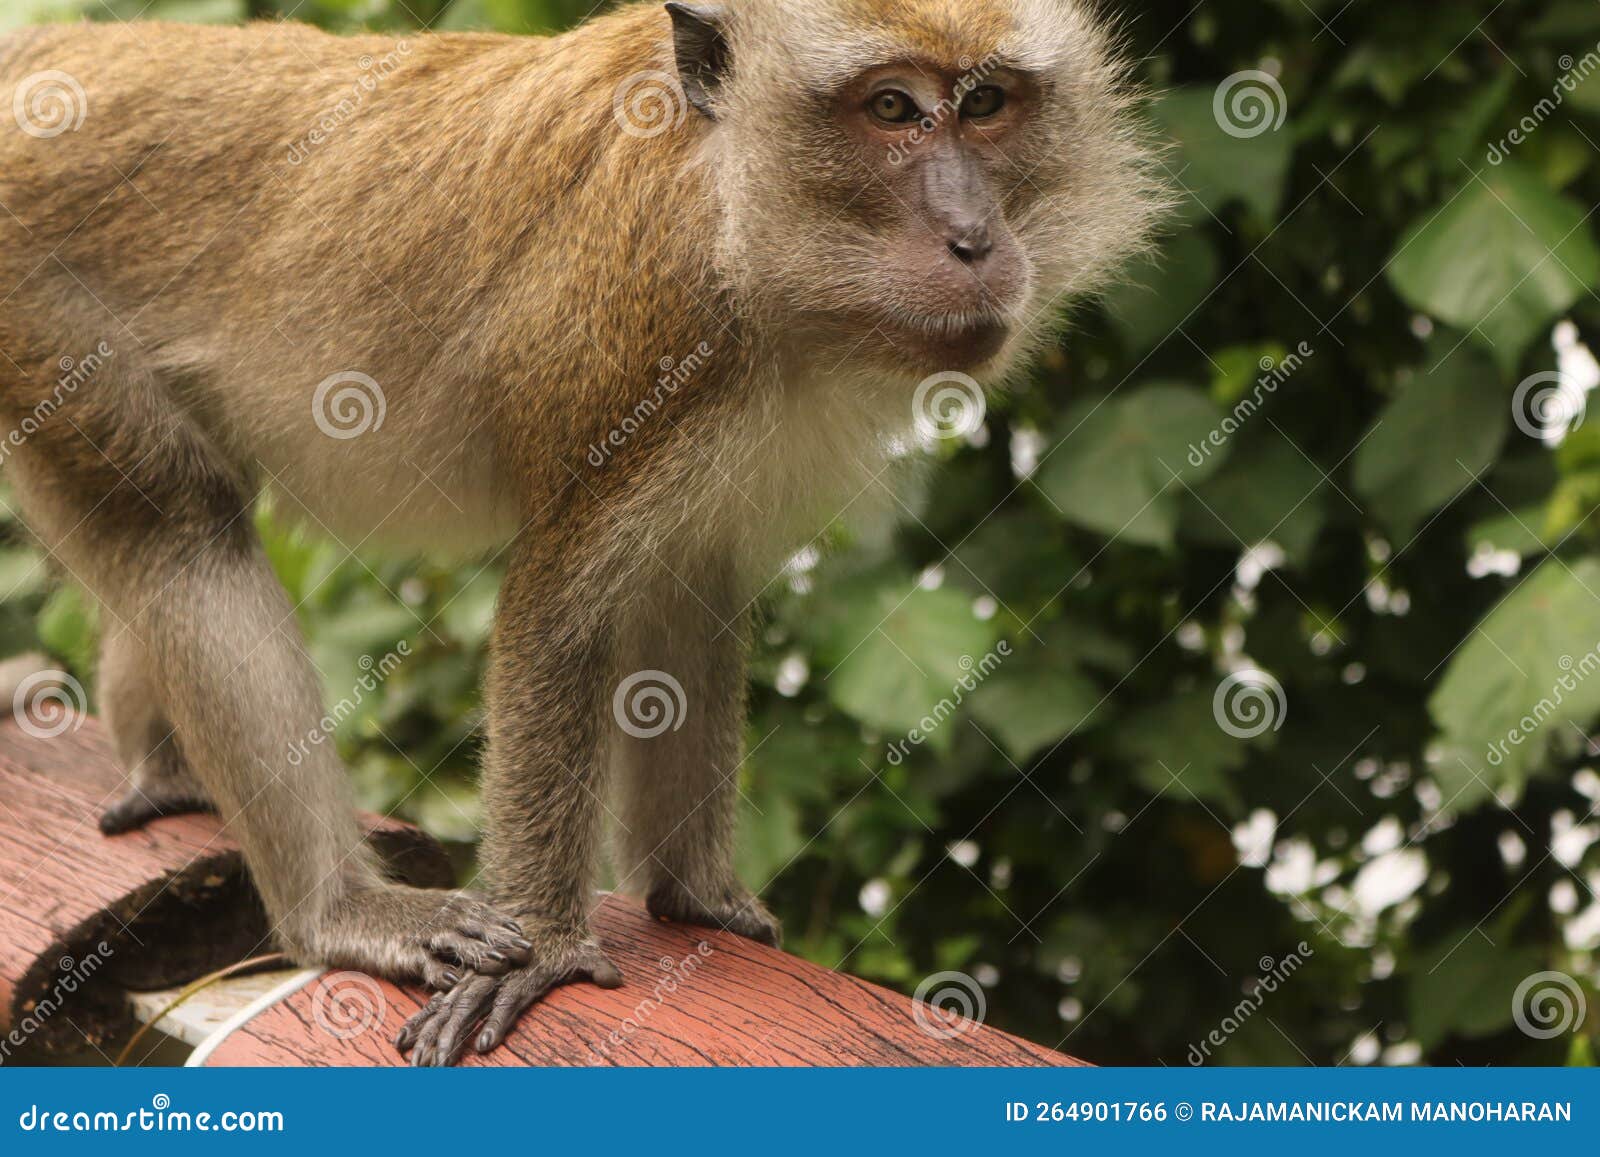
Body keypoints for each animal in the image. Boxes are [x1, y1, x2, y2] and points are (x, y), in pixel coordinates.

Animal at [0, 0, 1162, 1064]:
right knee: (180, 531)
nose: (974, 237)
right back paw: (338, 910)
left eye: (986, 103)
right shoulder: (648, 330)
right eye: (890, 109)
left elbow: (686, 595)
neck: (730, 195)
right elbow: (560, 602)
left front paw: (695, 896)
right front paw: (548, 945)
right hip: (43, 316)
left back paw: (162, 767)